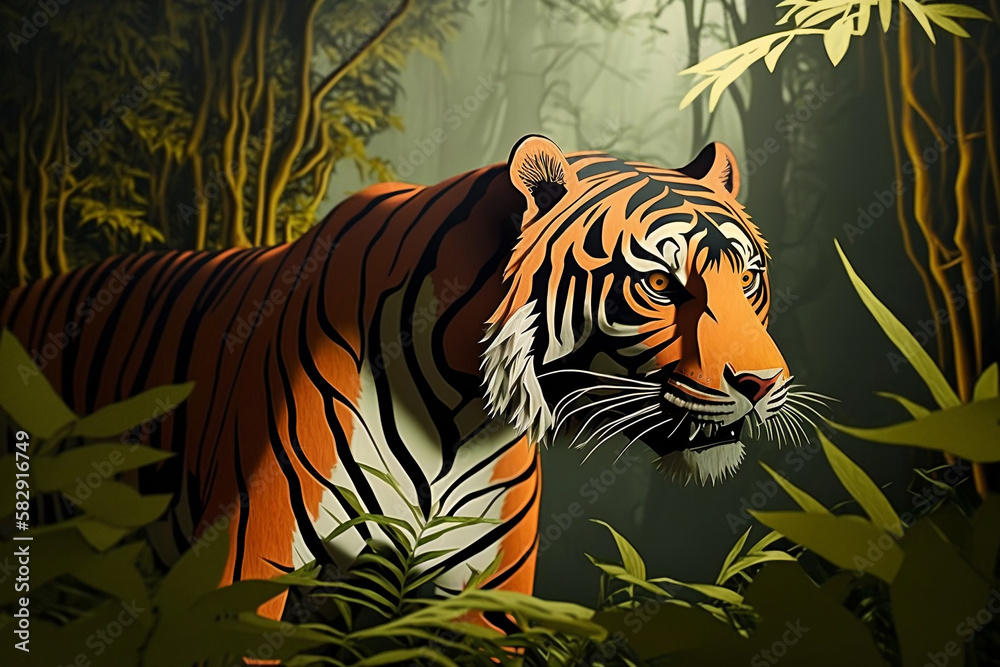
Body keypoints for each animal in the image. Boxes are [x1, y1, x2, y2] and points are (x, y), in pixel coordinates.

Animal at [1, 134, 809, 628]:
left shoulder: (492, 598)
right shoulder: (247, 563)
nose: (763, 382)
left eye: (748, 276)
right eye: (661, 283)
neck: (459, 410)